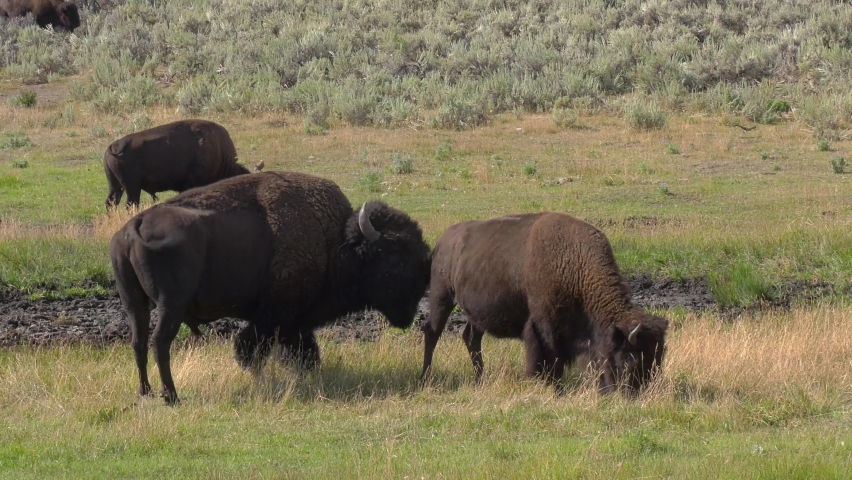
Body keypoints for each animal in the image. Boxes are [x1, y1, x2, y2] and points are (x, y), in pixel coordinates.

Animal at [110, 171, 432, 404]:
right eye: (394, 256)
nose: (424, 280)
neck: (334, 243)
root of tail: (134, 226)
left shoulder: (295, 322)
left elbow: (304, 353)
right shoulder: (272, 317)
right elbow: (251, 350)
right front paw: (264, 383)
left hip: (134, 303)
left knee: (138, 342)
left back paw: (146, 392)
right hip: (171, 305)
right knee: (159, 343)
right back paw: (172, 396)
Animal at [420, 212, 668, 395]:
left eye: (658, 360)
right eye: (630, 360)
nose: (637, 395)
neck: (575, 266)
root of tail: (443, 240)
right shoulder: (544, 326)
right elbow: (551, 359)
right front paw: (553, 388)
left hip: (476, 314)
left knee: (471, 338)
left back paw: (481, 378)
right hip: (442, 296)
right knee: (432, 332)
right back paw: (425, 378)